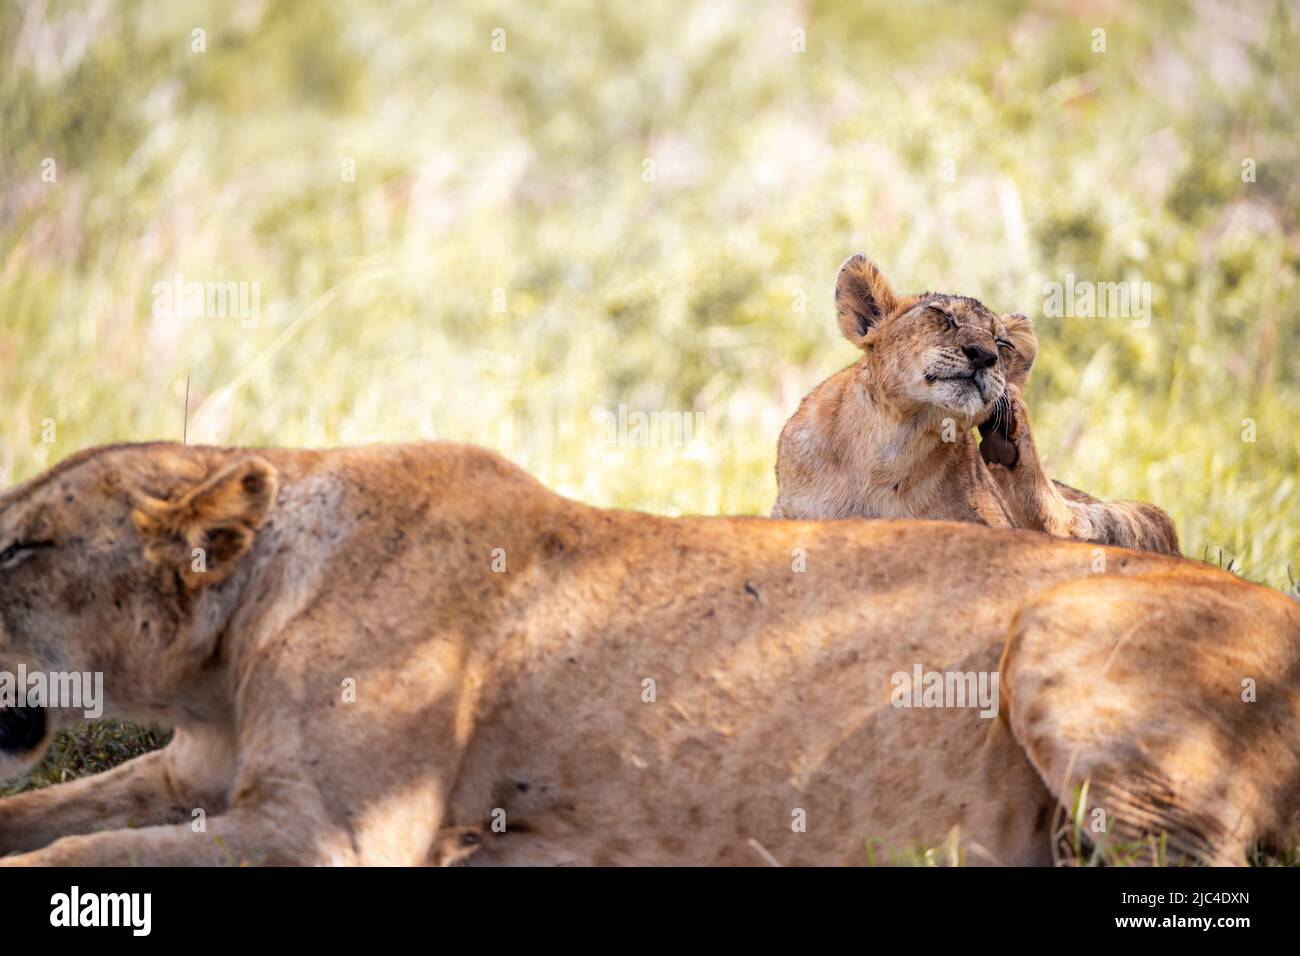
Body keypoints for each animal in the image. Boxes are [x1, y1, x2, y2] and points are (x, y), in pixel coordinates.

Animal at [1, 441, 1295, 866]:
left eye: (18, 545)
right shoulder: (193, 770)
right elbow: (57, 810)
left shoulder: (335, 835)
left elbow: (82, 849)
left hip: (1059, 632)